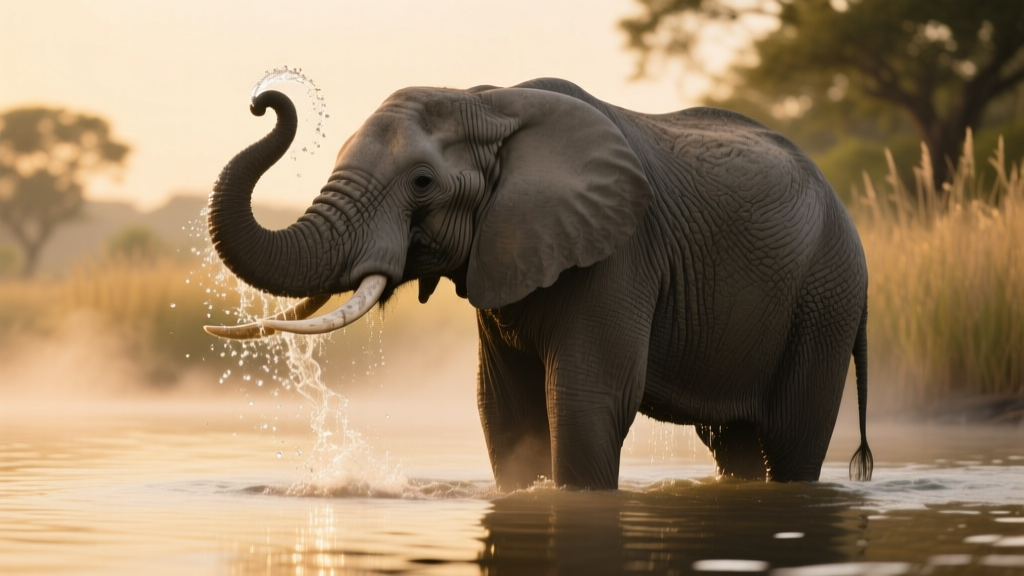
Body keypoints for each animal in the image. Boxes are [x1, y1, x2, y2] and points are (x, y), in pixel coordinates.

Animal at [204, 77, 873, 490]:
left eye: (422, 182)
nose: (265, 99)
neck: (489, 99)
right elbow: (502, 407)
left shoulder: (619, 255)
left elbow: (587, 399)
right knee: (733, 443)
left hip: (826, 297)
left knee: (791, 436)